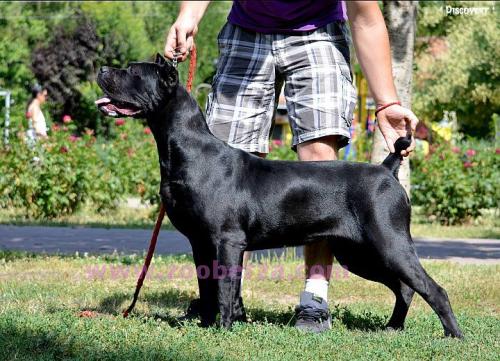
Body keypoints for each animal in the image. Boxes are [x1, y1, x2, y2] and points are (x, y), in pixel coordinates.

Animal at [95, 54, 462, 338]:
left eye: (132, 72)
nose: (101, 69)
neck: (187, 150)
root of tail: (387, 169)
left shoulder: (228, 240)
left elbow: (225, 288)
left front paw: (223, 330)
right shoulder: (201, 243)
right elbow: (208, 286)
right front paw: (206, 325)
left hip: (388, 242)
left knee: (433, 288)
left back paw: (453, 336)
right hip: (358, 253)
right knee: (404, 287)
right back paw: (393, 327)